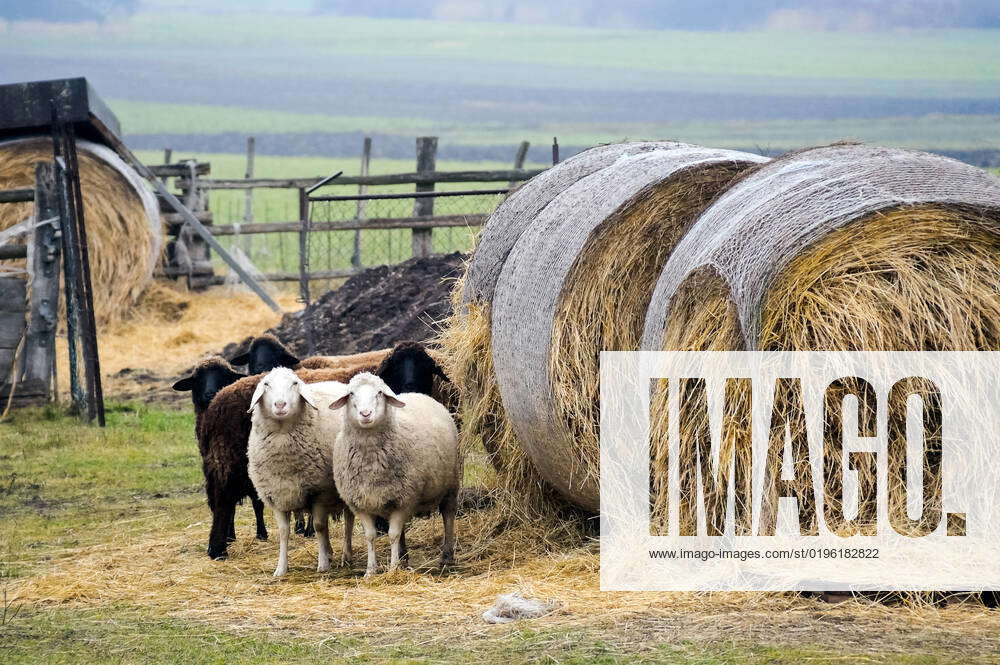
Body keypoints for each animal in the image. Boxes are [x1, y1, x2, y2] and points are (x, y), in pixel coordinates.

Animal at [247, 368, 349, 576]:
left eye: (294, 384)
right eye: (266, 384)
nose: (280, 404)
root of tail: (338, 383)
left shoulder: (320, 491)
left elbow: (319, 527)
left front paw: (322, 565)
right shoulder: (276, 495)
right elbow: (283, 532)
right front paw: (281, 568)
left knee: (348, 522)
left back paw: (345, 554)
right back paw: (330, 552)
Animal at [329, 372, 462, 576]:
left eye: (379, 393)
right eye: (351, 394)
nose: (365, 414)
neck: (370, 460)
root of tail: (419, 394)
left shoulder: (404, 499)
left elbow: (392, 534)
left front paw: (392, 569)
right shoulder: (361, 503)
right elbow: (371, 536)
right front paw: (370, 570)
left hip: (450, 484)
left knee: (448, 515)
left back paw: (446, 556)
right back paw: (403, 556)